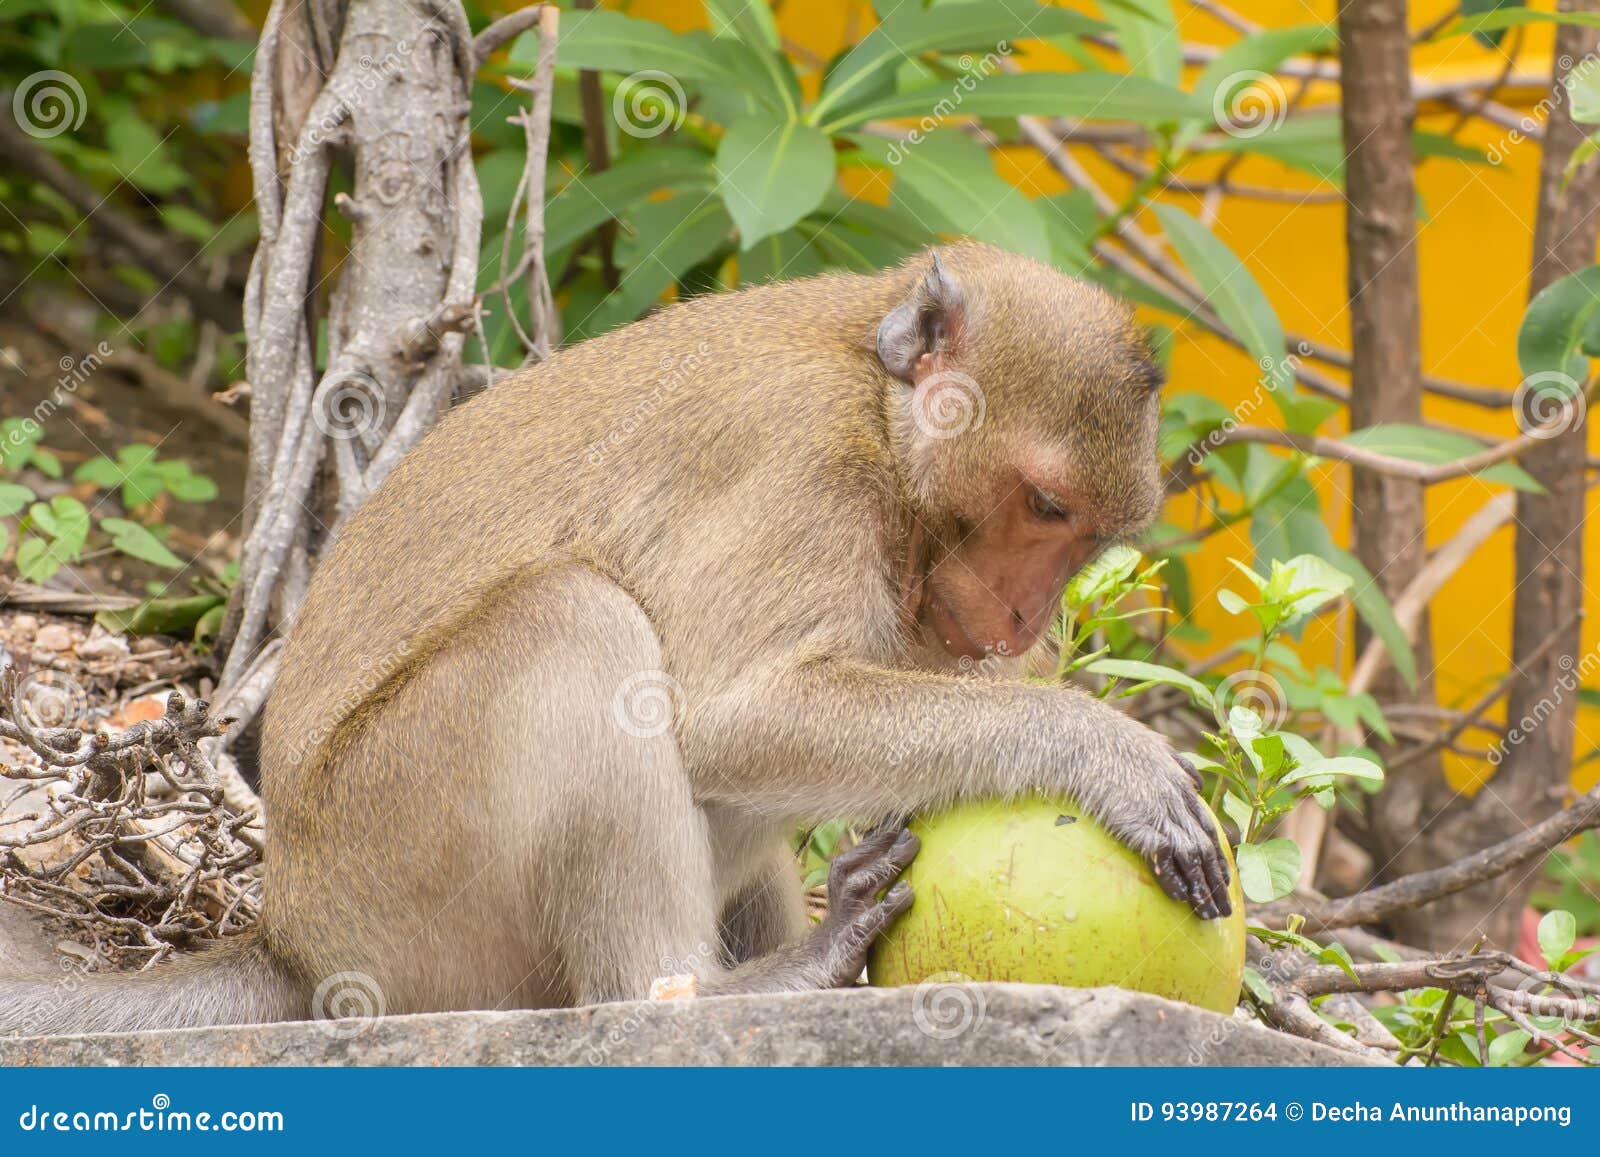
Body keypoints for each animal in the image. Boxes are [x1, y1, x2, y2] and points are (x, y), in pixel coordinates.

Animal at [1, 242, 1230, 1036]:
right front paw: (1101, 747)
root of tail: (295, 937)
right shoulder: (795, 461)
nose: (1026, 617)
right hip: (398, 876)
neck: (875, 408)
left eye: (1087, 533)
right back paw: (707, 990)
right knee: (570, 621)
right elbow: (735, 715)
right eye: (1046, 505)